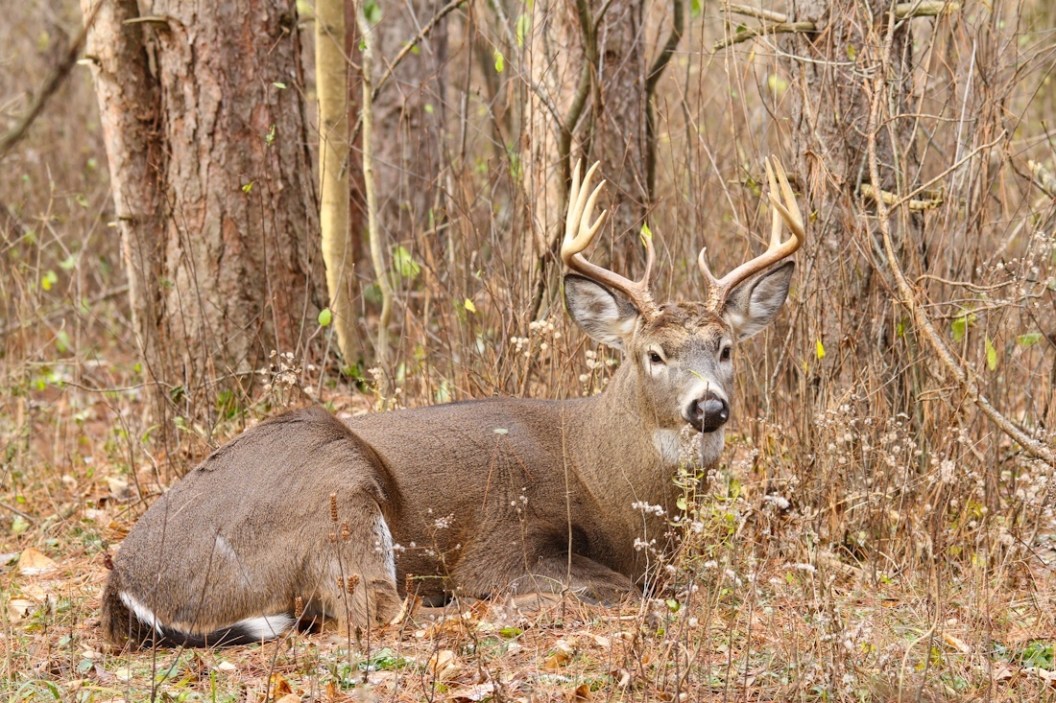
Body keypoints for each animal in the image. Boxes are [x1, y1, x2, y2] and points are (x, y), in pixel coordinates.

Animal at [101, 159, 804, 648]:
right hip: (335, 485)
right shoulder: (505, 534)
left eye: (726, 348)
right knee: (380, 614)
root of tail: (127, 584)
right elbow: (622, 591)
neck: (605, 483)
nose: (707, 408)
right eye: (654, 354)